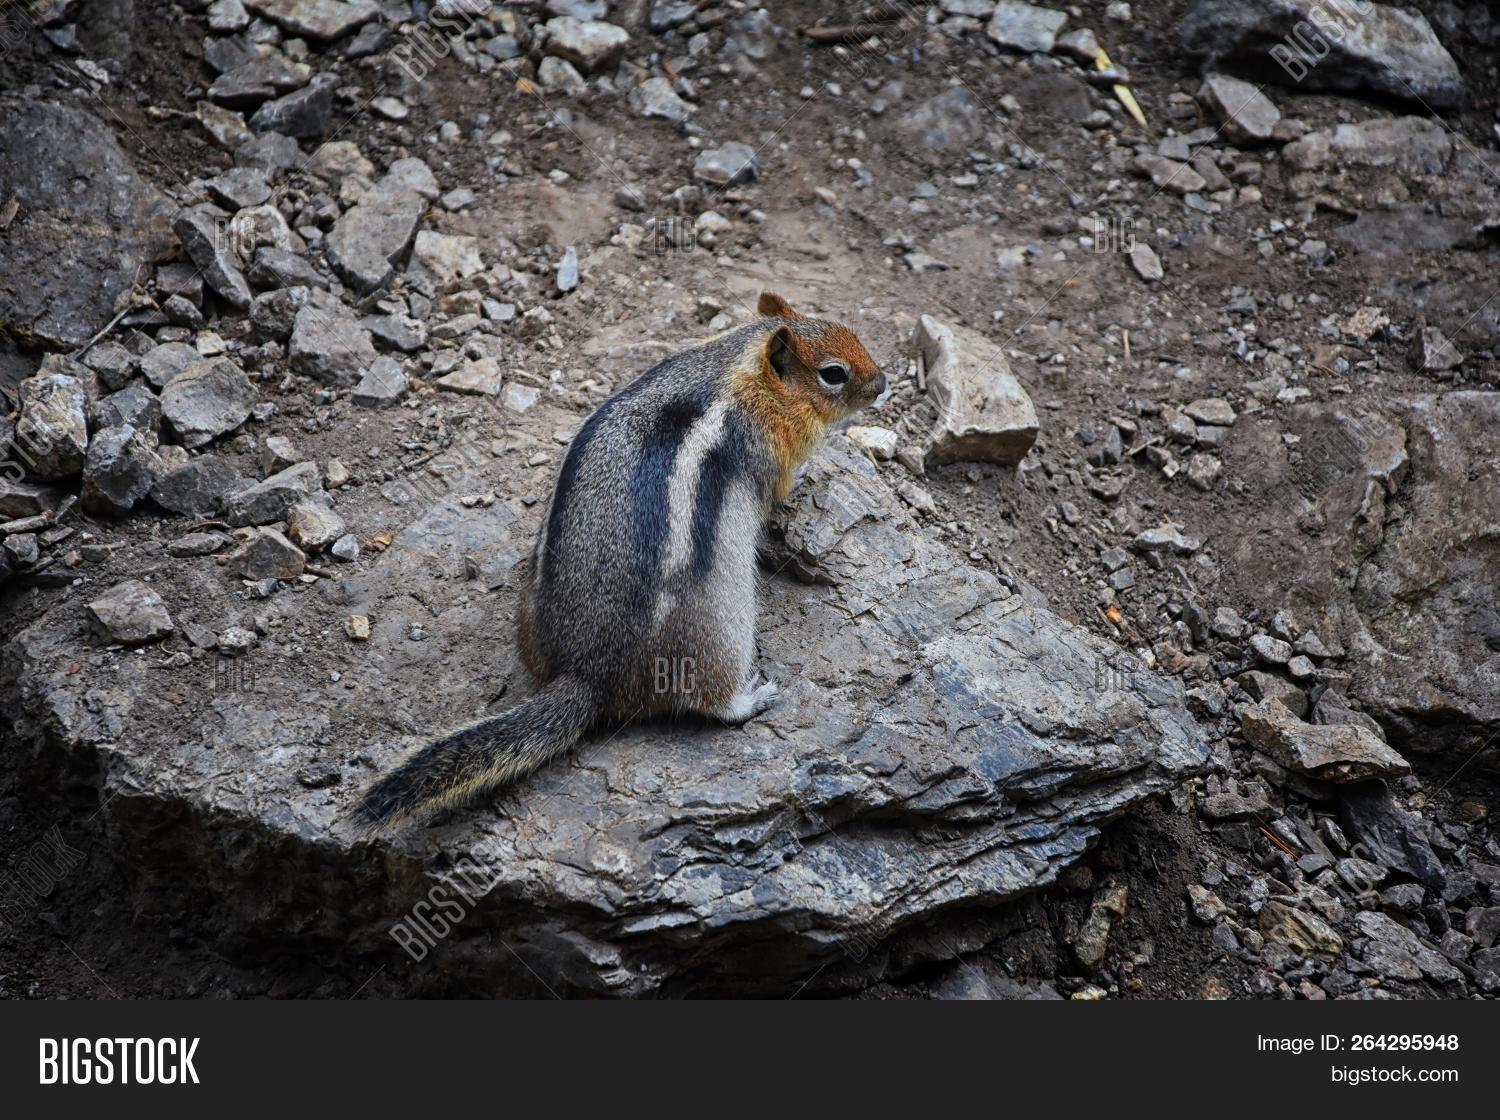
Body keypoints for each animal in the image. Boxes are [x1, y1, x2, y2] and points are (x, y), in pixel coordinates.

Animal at [354, 292, 885, 828]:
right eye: (833, 373)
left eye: (852, 333)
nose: (882, 384)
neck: (737, 370)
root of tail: (586, 674)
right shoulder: (769, 454)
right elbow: (780, 488)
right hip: (720, 624)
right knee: (709, 699)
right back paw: (751, 698)